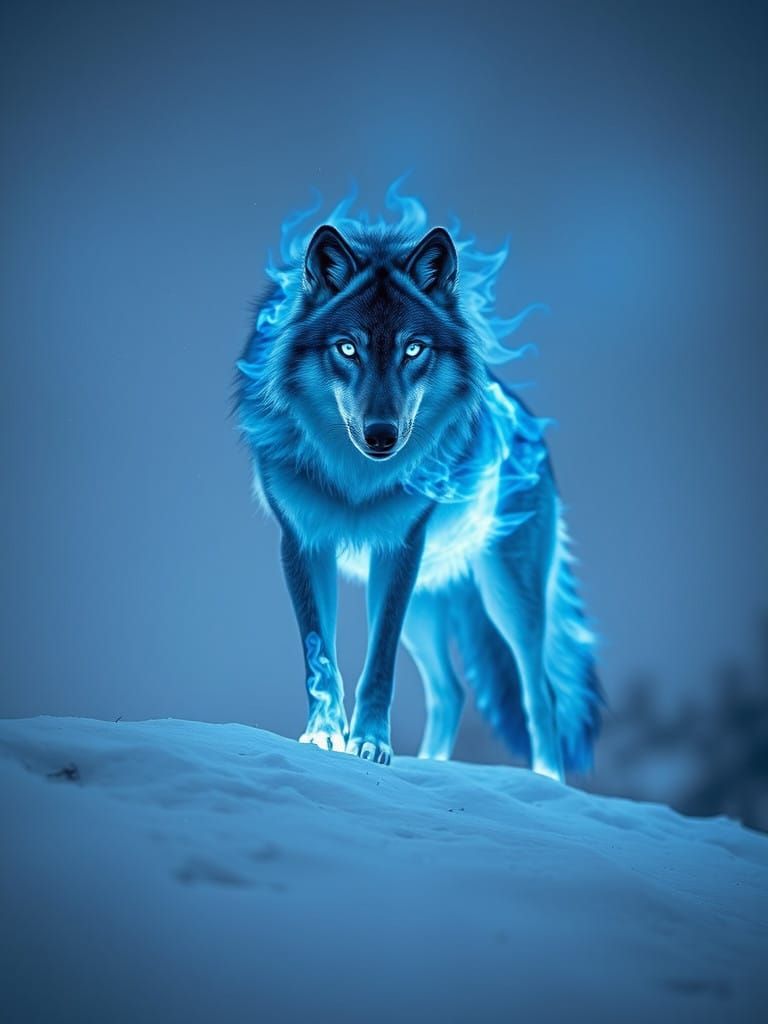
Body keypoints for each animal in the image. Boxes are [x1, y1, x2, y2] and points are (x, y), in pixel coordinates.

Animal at [236, 196, 601, 781]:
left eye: (413, 350)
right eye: (348, 348)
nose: (381, 435)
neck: (357, 478)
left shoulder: (398, 551)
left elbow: (378, 665)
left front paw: (369, 745)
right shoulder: (303, 545)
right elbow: (320, 652)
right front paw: (324, 737)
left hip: (506, 596)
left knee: (539, 692)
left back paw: (548, 782)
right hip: (429, 605)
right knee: (451, 691)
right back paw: (431, 768)